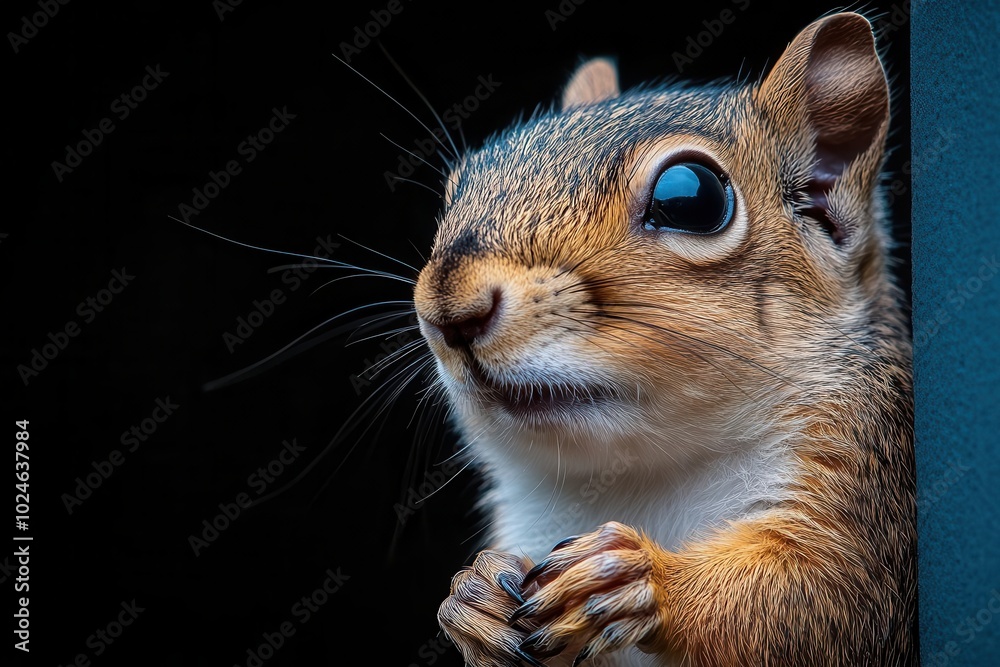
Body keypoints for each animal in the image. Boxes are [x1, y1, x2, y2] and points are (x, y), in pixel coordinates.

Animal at [412, 11, 916, 666]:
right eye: (456, 188)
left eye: (692, 199)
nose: (449, 311)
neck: (639, 473)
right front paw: (471, 603)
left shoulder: (870, 493)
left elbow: (818, 602)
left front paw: (643, 581)